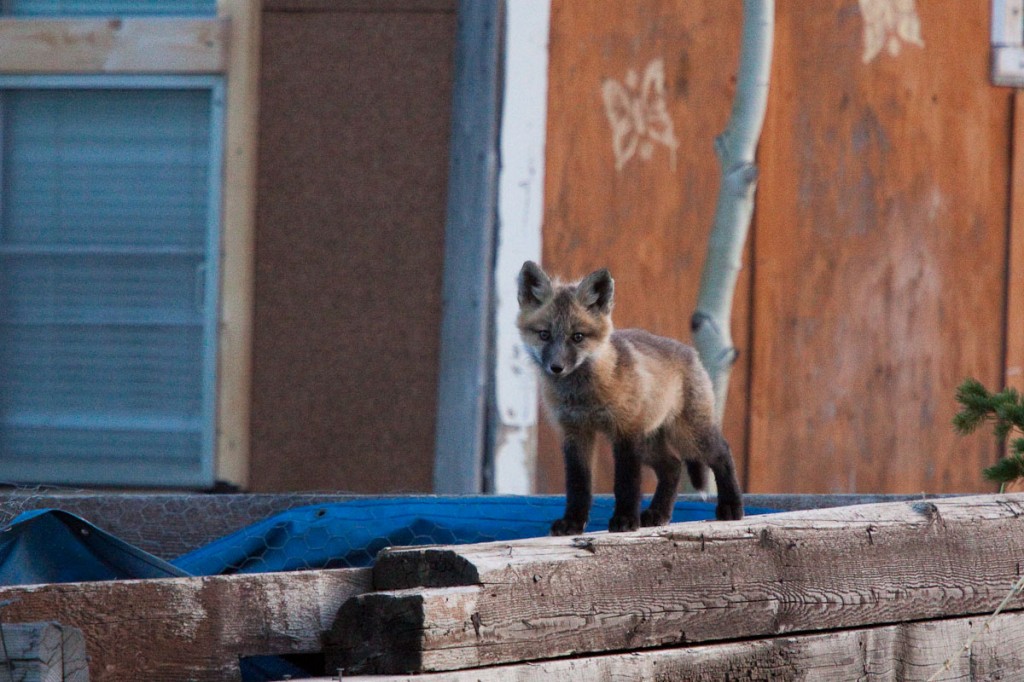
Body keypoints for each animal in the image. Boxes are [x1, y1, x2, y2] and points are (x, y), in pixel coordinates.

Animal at [516, 260, 744, 535]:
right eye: (544, 335)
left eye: (577, 336)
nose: (556, 368)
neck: (584, 396)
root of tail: (691, 353)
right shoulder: (575, 434)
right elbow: (578, 485)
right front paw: (572, 522)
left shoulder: (625, 432)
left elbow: (626, 483)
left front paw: (625, 520)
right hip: (649, 443)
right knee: (673, 466)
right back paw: (658, 514)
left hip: (687, 436)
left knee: (722, 454)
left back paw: (731, 507)